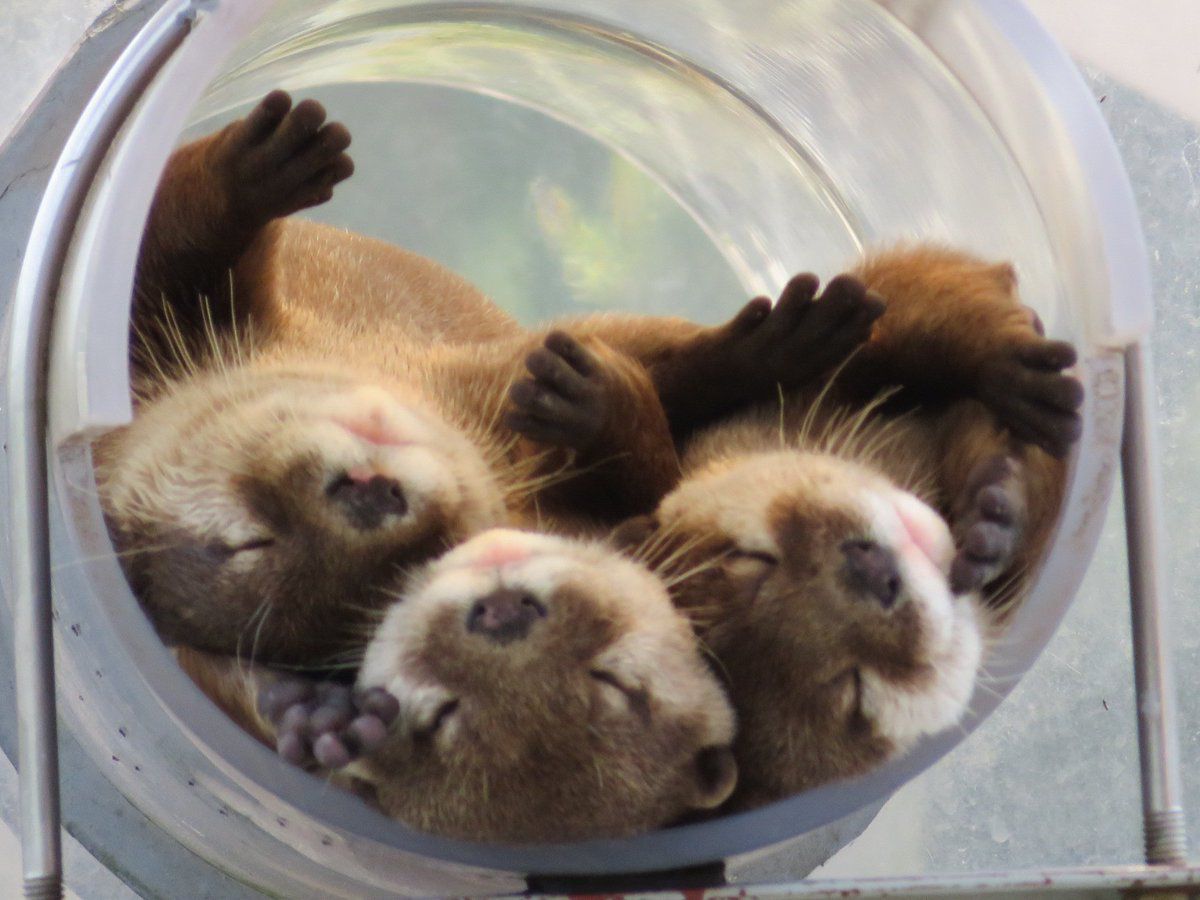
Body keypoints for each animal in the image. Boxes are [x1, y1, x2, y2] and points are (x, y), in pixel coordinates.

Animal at [98, 90, 883, 667]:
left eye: (247, 537)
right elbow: (654, 491)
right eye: (422, 563)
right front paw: (593, 408)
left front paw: (263, 163)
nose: (371, 498)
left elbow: (161, 234)